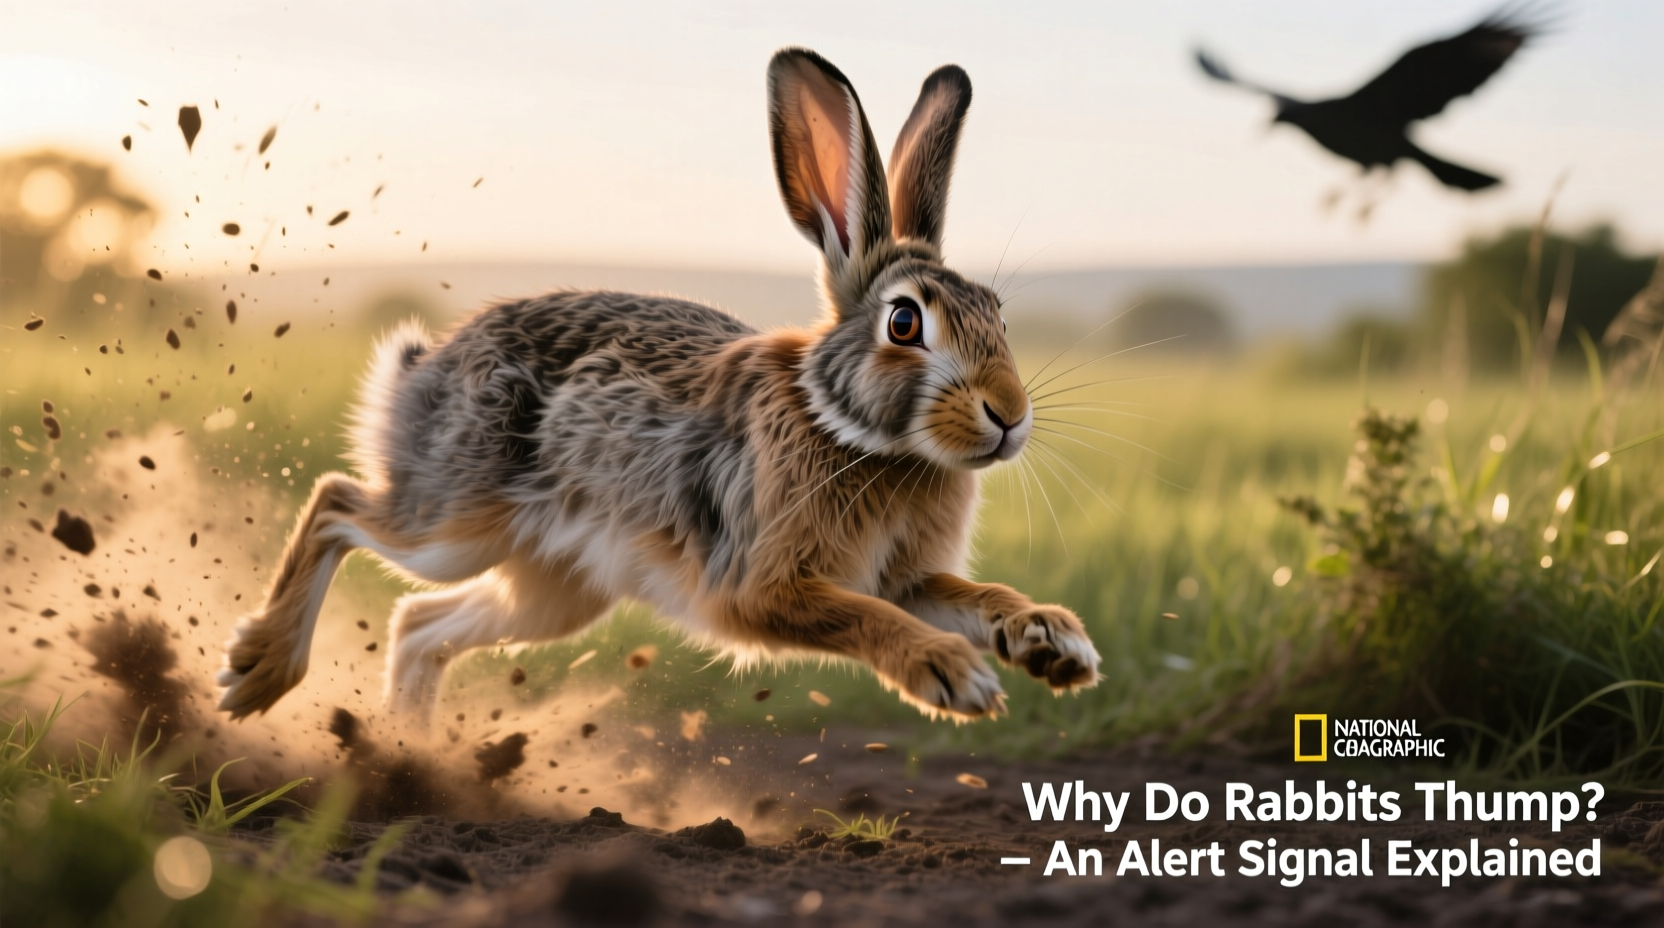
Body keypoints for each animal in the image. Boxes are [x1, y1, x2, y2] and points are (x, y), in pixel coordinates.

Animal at [216, 47, 1102, 725]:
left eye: (996, 313)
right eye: (906, 323)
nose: (1009, 417)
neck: (849, 428)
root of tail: (423, 369)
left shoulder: (908, 576)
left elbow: (975, 591)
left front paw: (1052, 641)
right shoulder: (761, 585)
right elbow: (863, 614)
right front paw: (950, 671)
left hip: (554, 590)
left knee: (418, 625)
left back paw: (405, 759)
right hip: (451, 521)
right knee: (338, 505)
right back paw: (259, 674)